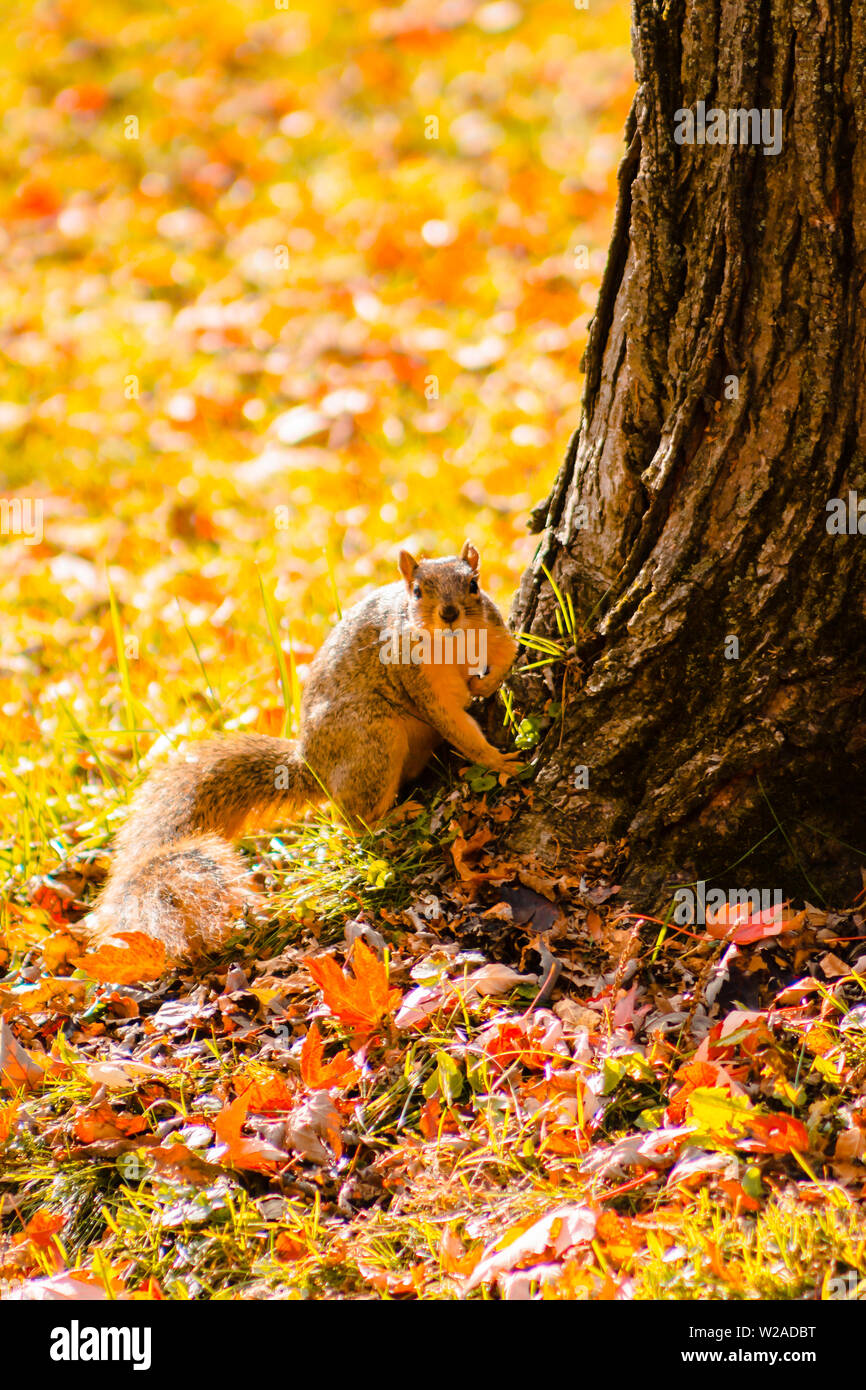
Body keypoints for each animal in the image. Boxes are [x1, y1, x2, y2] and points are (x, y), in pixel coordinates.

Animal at [86, 542, 520, 959]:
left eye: (474, 585)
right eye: (416, 591)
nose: (449, 613)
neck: (455, 645)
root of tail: (312, 763)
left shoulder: (493, 629)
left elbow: (508, 654)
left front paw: (485, 686)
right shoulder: (419, 679)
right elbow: (454, 723)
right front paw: (498, 761)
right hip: (373, 737)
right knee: (352, 818)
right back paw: (391, 816)